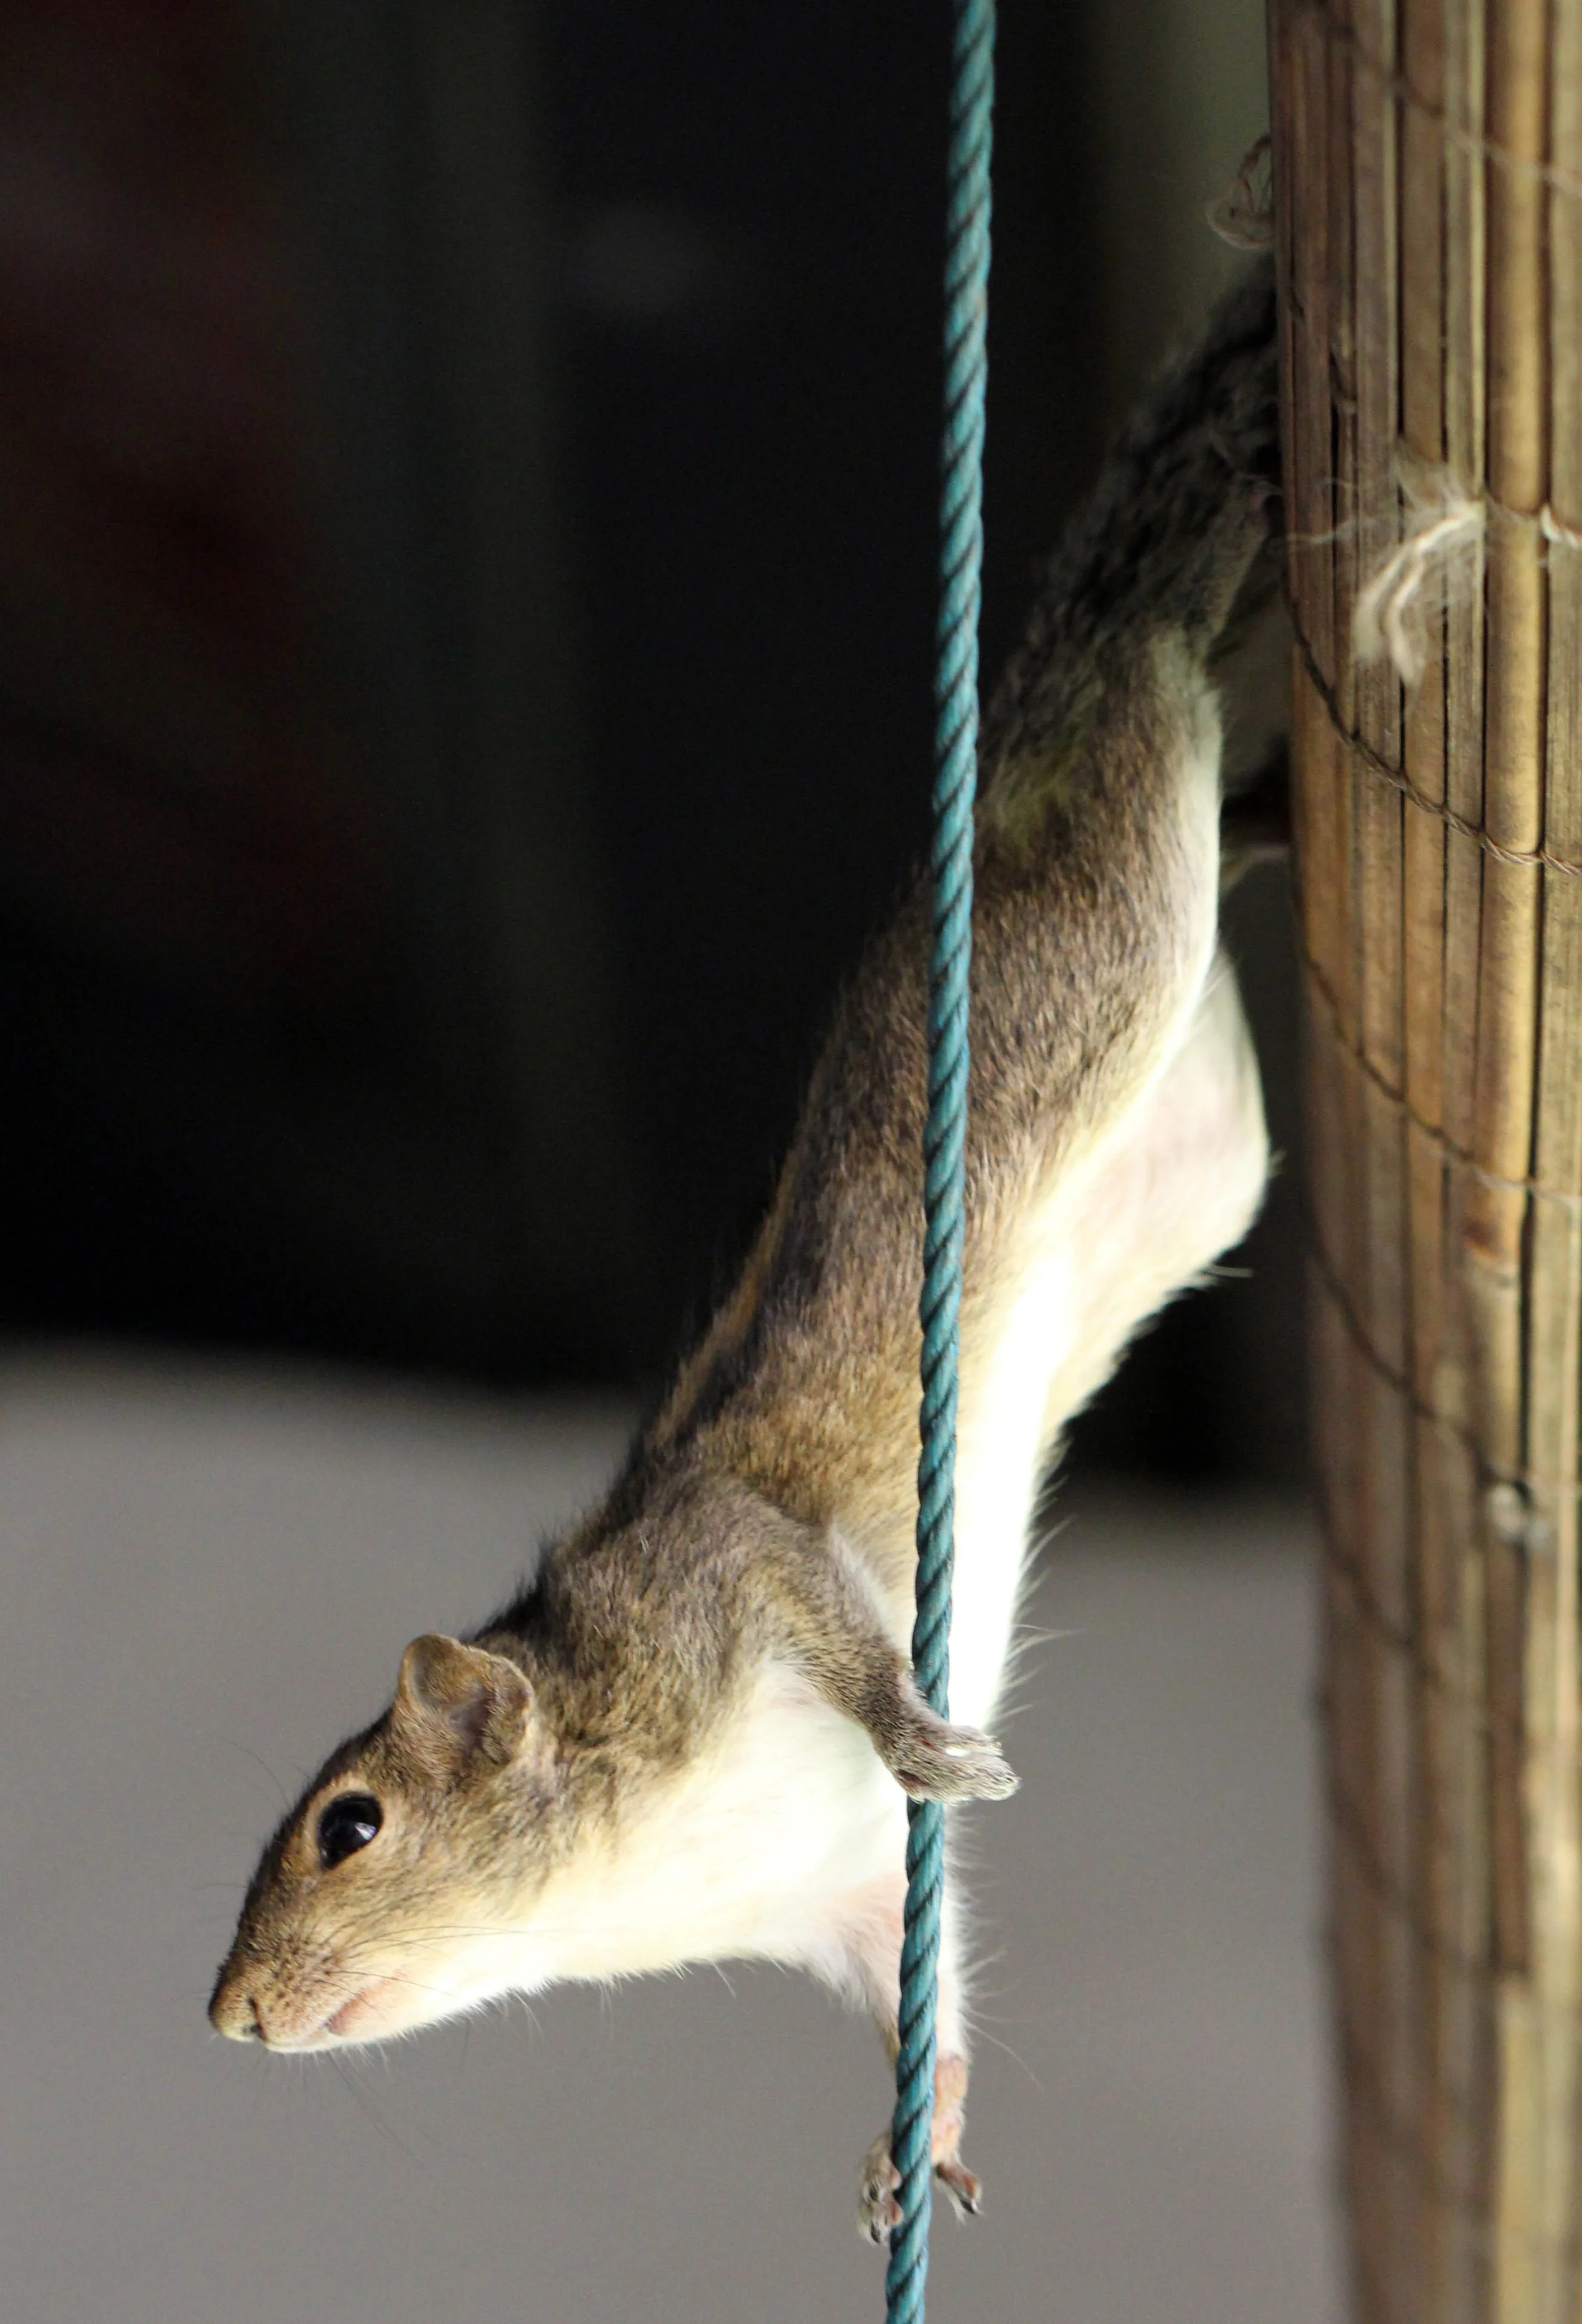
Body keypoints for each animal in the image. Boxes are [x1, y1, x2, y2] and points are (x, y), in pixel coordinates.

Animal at [210, 263, 1282, 2244]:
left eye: (351, 1822)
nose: (227, 2013)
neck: (634, 1874)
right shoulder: (847, 1903)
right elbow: (916, 2002)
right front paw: (907, 2148)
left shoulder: (716, 1575)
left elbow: (823, 1617)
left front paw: (929, 1742)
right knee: (1209, 781)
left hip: (1096, 942)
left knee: (1159, 676)